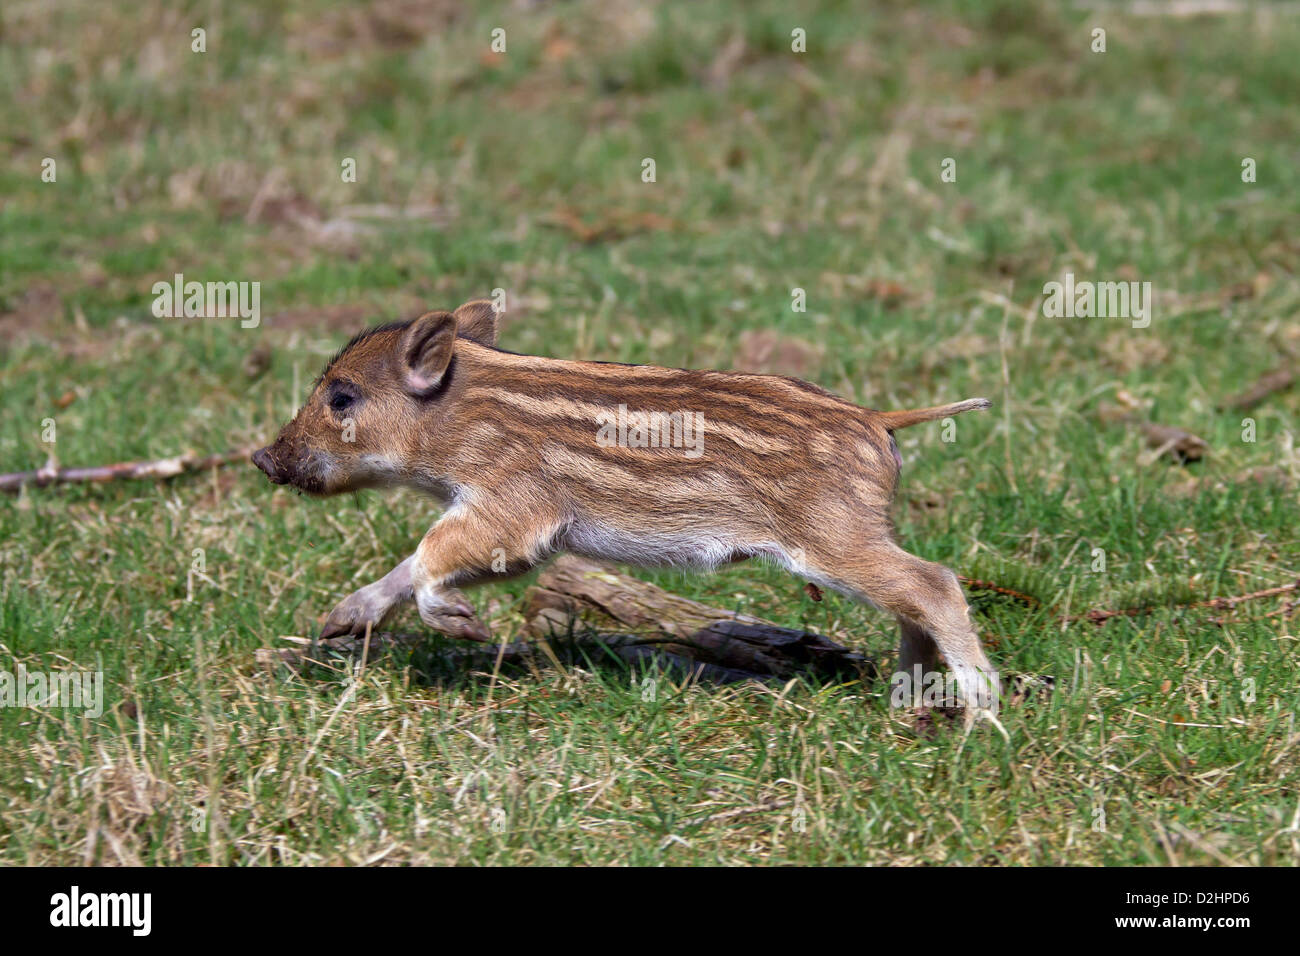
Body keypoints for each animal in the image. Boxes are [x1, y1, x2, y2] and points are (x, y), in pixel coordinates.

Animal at [252, 300, 999, 711]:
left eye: (341, 397)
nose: (263, 458)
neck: (460, 418)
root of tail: (879, 418)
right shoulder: (524, 533)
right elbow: (411, 567)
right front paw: (339, 624)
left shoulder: (516, 509)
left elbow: (431, 559)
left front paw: (462, 625)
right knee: (911, 599)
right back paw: (907, 701)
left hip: (833, 539)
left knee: (934, 584)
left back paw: (980, 712)